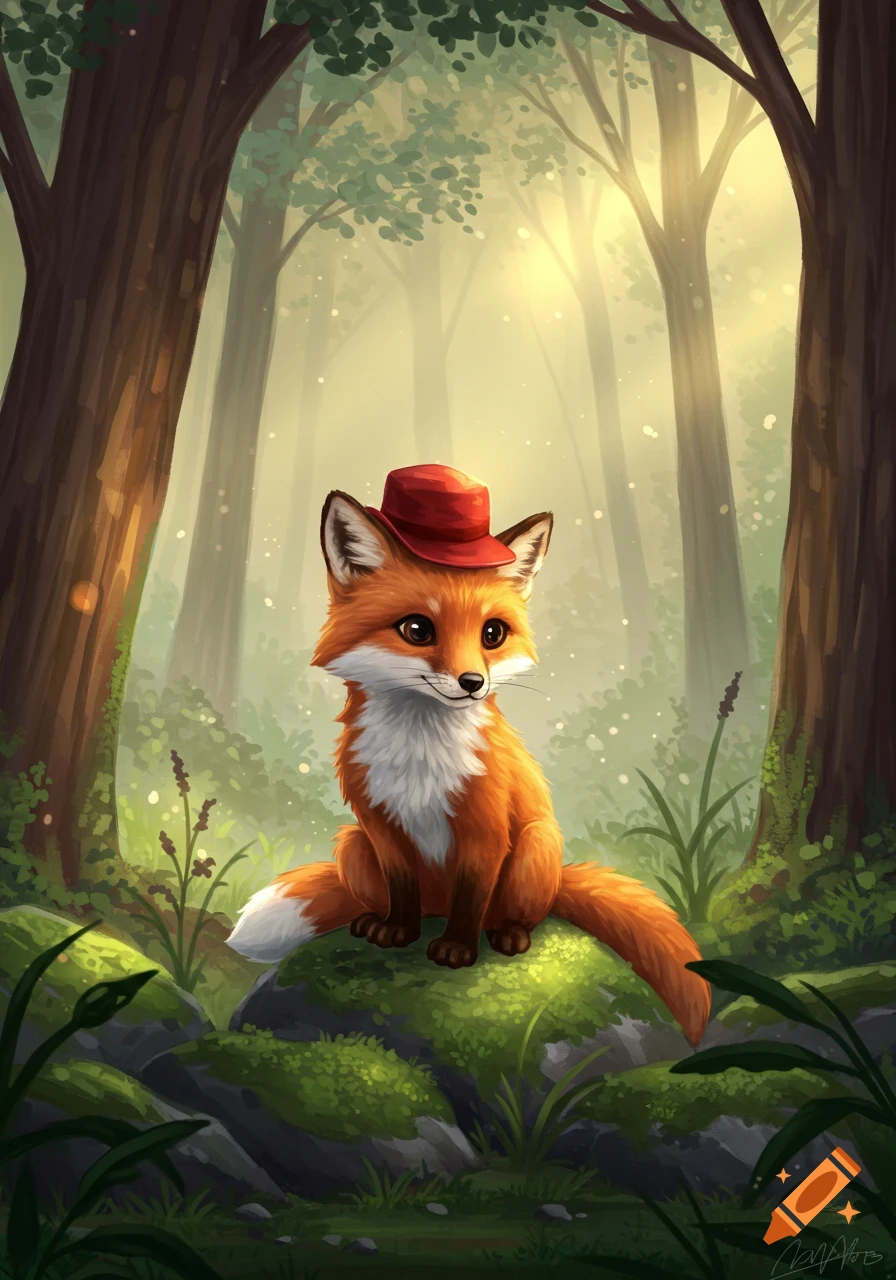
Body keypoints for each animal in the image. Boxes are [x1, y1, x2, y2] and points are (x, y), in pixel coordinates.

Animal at [227, 467, 711, 1046]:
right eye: (417, 629)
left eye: (492, 633)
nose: (473, 682)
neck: (419, 756)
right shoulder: (381, 826)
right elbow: (403, 892)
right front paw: (398, 932)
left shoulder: (485, 832)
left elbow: (471, 900)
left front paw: (458, 949)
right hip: (352, 844)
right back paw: (376, 921)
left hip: (535, 845)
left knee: (516, 913)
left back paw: (507, 934)